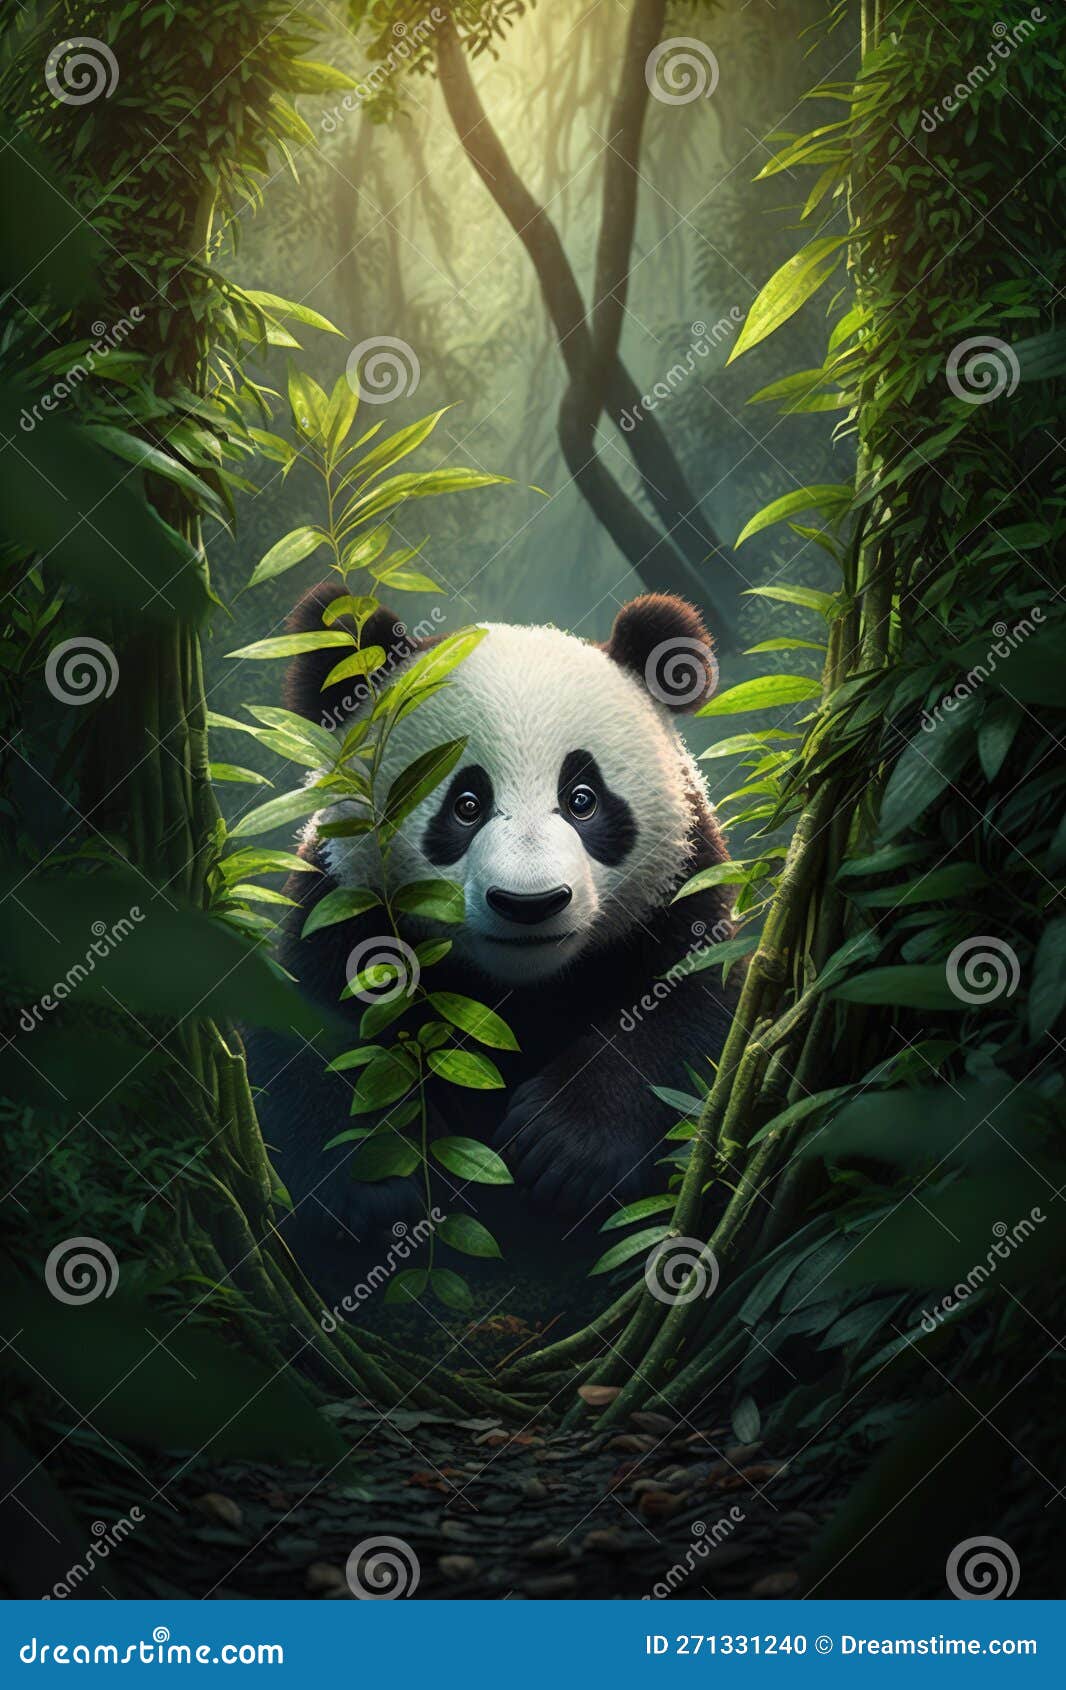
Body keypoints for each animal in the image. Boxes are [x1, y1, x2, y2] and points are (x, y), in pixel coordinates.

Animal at [246, 583, 738, 1306]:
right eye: (465, 803)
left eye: (582, 798)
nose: (529, 904)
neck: (518, 988)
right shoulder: (338, 903)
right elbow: (308, 1035)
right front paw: (377, 1183)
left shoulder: (681, 888)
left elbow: (697, 1017)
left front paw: (563, 1147)